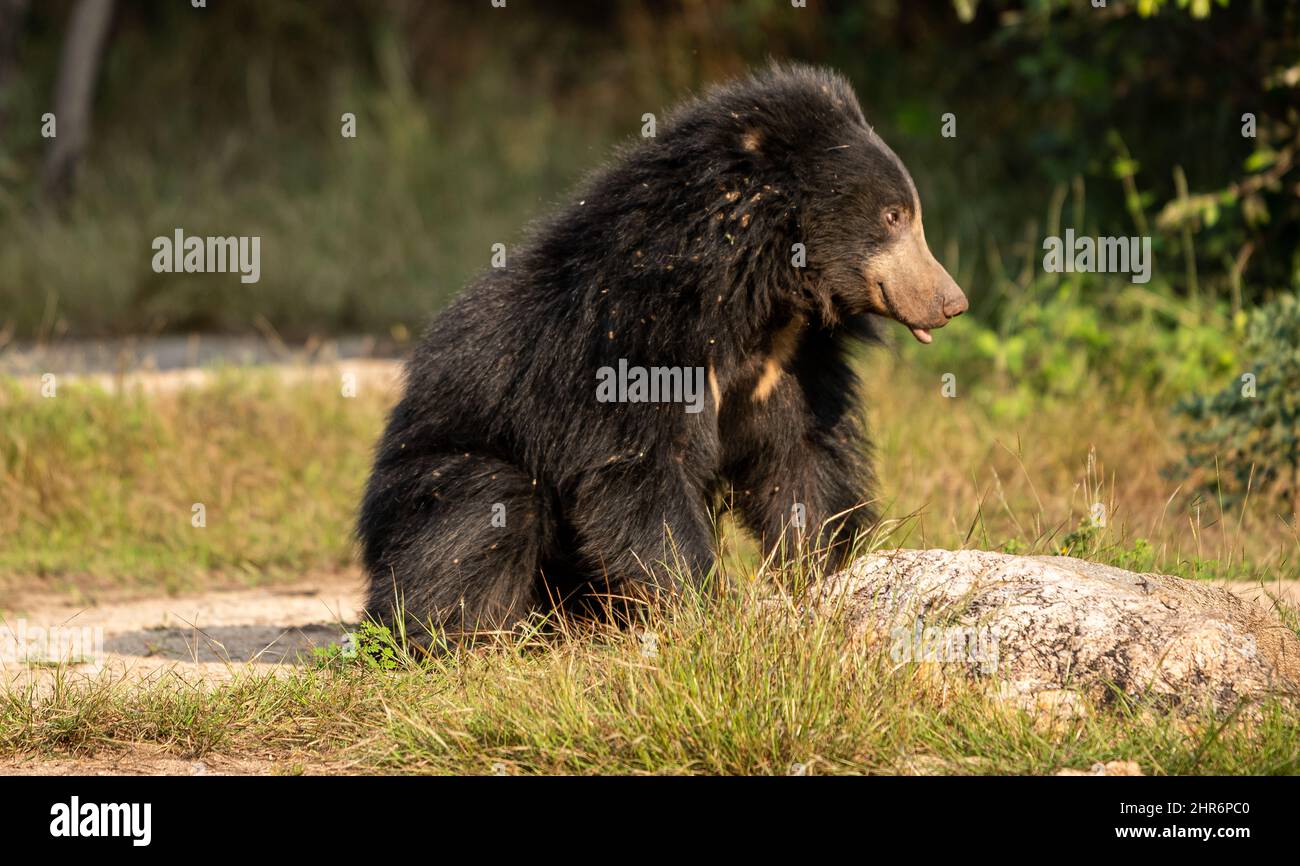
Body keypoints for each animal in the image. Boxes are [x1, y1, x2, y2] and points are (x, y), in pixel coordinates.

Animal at [358, 63, 967, 643]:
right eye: (893, 216)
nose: (951, 301)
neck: (756, 298)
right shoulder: (631, 341)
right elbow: (640, 475)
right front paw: (707, 607)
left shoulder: (792, 362)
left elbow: (801, 462)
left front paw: (820, 572)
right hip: (427, 480)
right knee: (484, 510)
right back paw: (473, 635)